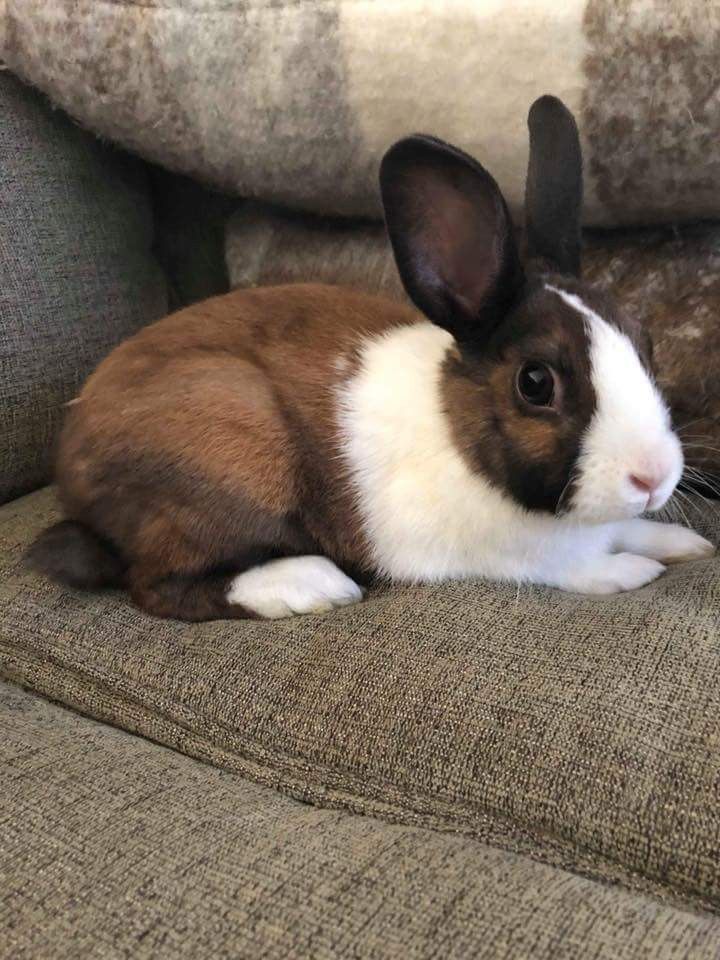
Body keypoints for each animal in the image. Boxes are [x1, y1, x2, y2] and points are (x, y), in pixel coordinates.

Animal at [28, 95, 714, 621]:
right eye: (536, 382)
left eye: (646, 344)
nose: (652, 478)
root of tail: (69, 463)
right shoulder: (508, 552)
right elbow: (573, 566)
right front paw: (630, 572)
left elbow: (631, 529)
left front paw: (683, 543)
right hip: (232, 459)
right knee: (156, 584)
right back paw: (310, 586)